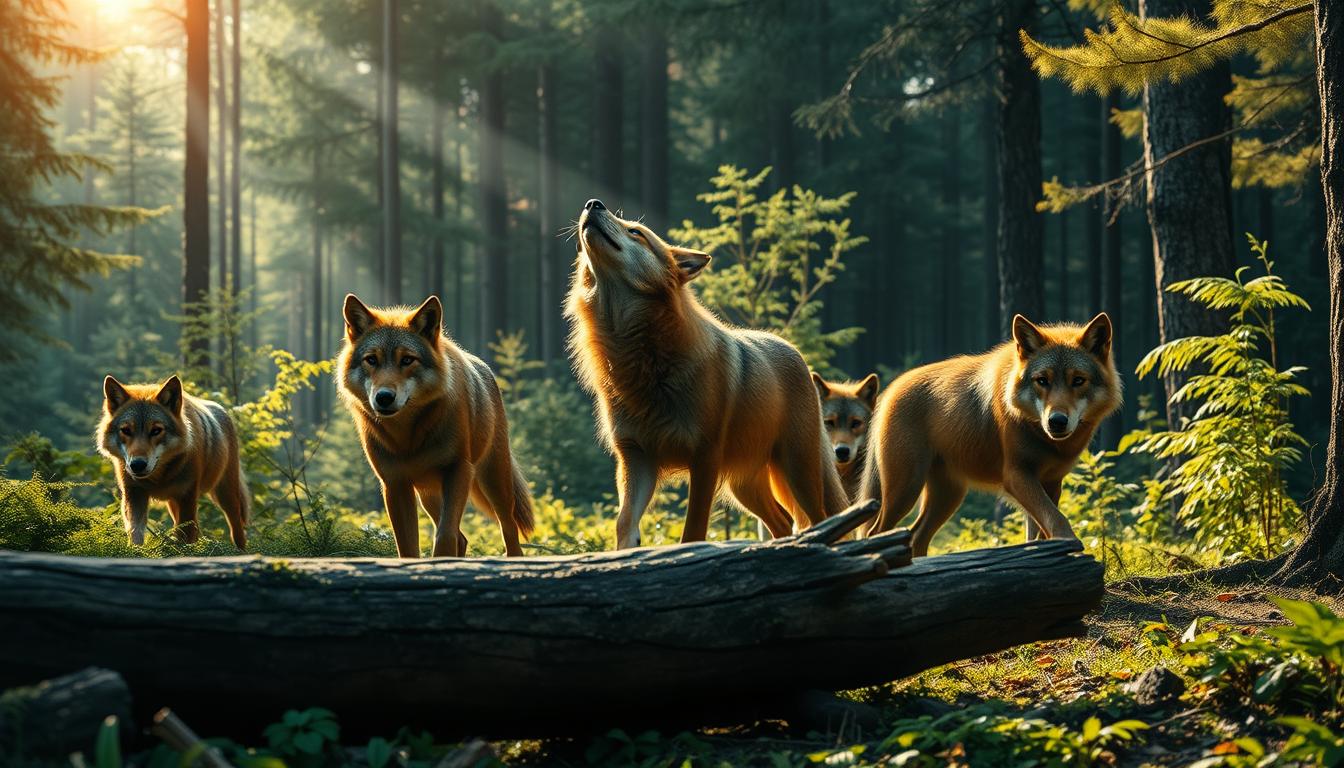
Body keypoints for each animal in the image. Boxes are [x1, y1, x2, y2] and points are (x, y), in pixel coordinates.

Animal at [97, 375, 249, 548]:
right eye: (126, 430)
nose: (137, 465)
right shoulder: (134, 494)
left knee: (236, 528)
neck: (159, 477)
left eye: (156, 430)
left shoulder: (187, 495)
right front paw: (136, 550)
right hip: (173, 503)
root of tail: (223, 411)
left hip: (225, 496)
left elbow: (186, 534)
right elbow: (135, 531)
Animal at [337, 294, 534, 558]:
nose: (384, 397)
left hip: (494, 482)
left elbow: (444, 535)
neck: (408, 436)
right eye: (372, 360)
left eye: (407, 360)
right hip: (428, 494)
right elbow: (408, 547)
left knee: (508, 531)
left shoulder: (458, 471)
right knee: (463, 538)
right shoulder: (395, 485)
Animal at [566, 198, 849, 549]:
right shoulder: (636, 458)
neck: (644, 360)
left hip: (797, 472)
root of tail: (793, 349)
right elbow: (624, 524)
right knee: (782, 522)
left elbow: (693, 531)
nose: (593, 203)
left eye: (636, 232)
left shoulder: (704, 458)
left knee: (820, 518)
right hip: (744, 488)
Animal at [862, 313, 1121, 555]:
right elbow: (1056, 519)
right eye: (1042, 381)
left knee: (917, 537)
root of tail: (892, 388)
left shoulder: (1051, 483)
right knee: (875, 532)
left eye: (1078, 380)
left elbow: (1040, 530)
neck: (1041, 437)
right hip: (905, 490)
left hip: (948, 496)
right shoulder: (1016, 476)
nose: (1056, 422)